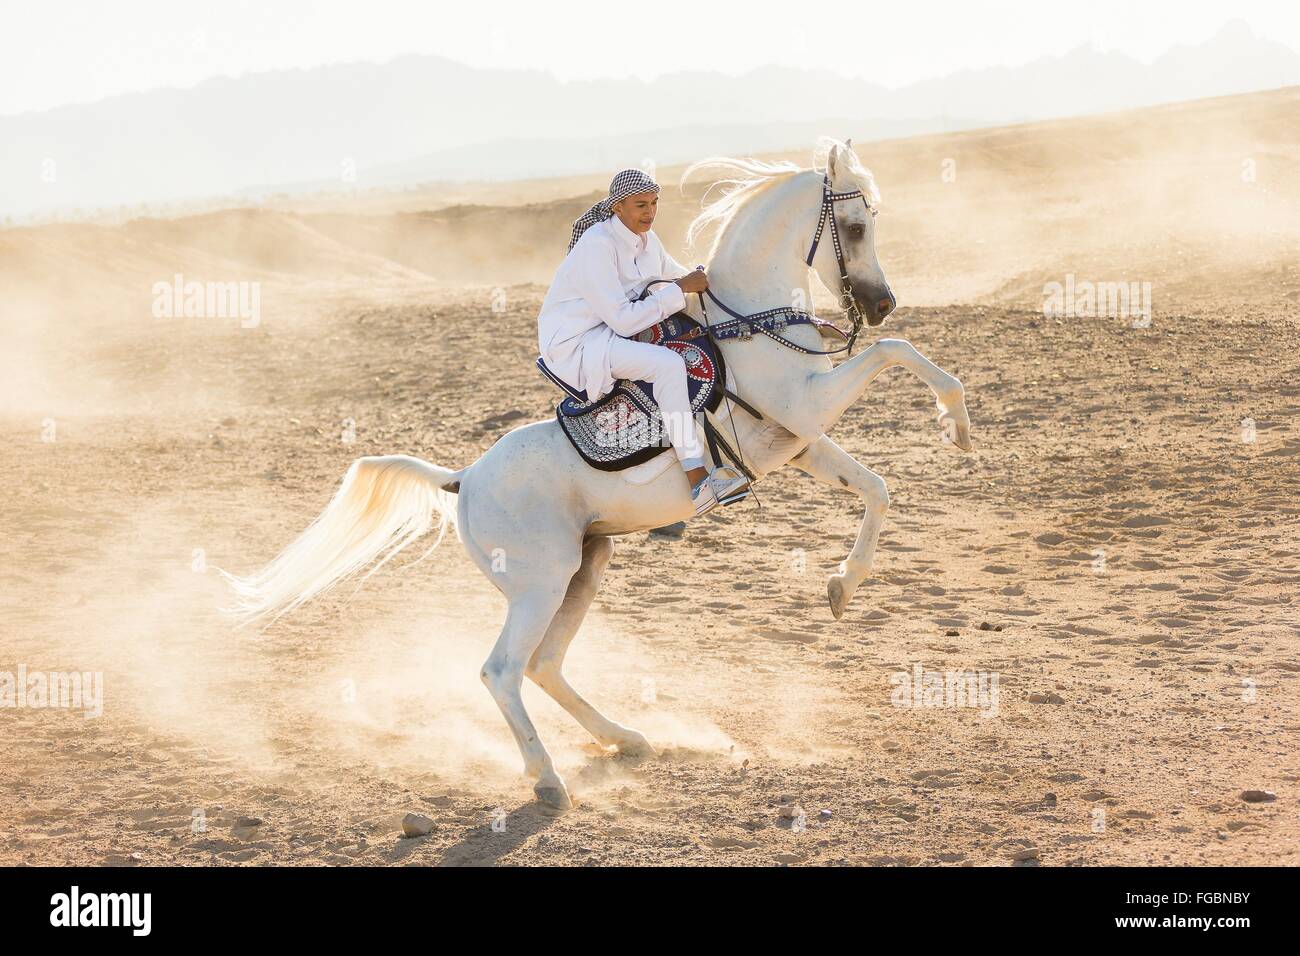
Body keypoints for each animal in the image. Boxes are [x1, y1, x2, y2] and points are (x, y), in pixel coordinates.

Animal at [224, 138, 974, 811]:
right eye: (857, 226)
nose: (880, 302)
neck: (748, 324)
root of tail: (463, 478)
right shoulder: (809, 406)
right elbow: (895, 352)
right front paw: (959, 423)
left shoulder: (798, 442)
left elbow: (876, 487)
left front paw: (843, 586)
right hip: (540, 584)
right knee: (501, 671)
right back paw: (547, 779)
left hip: (585, 569)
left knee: (543, 665)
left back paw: (625, 739)